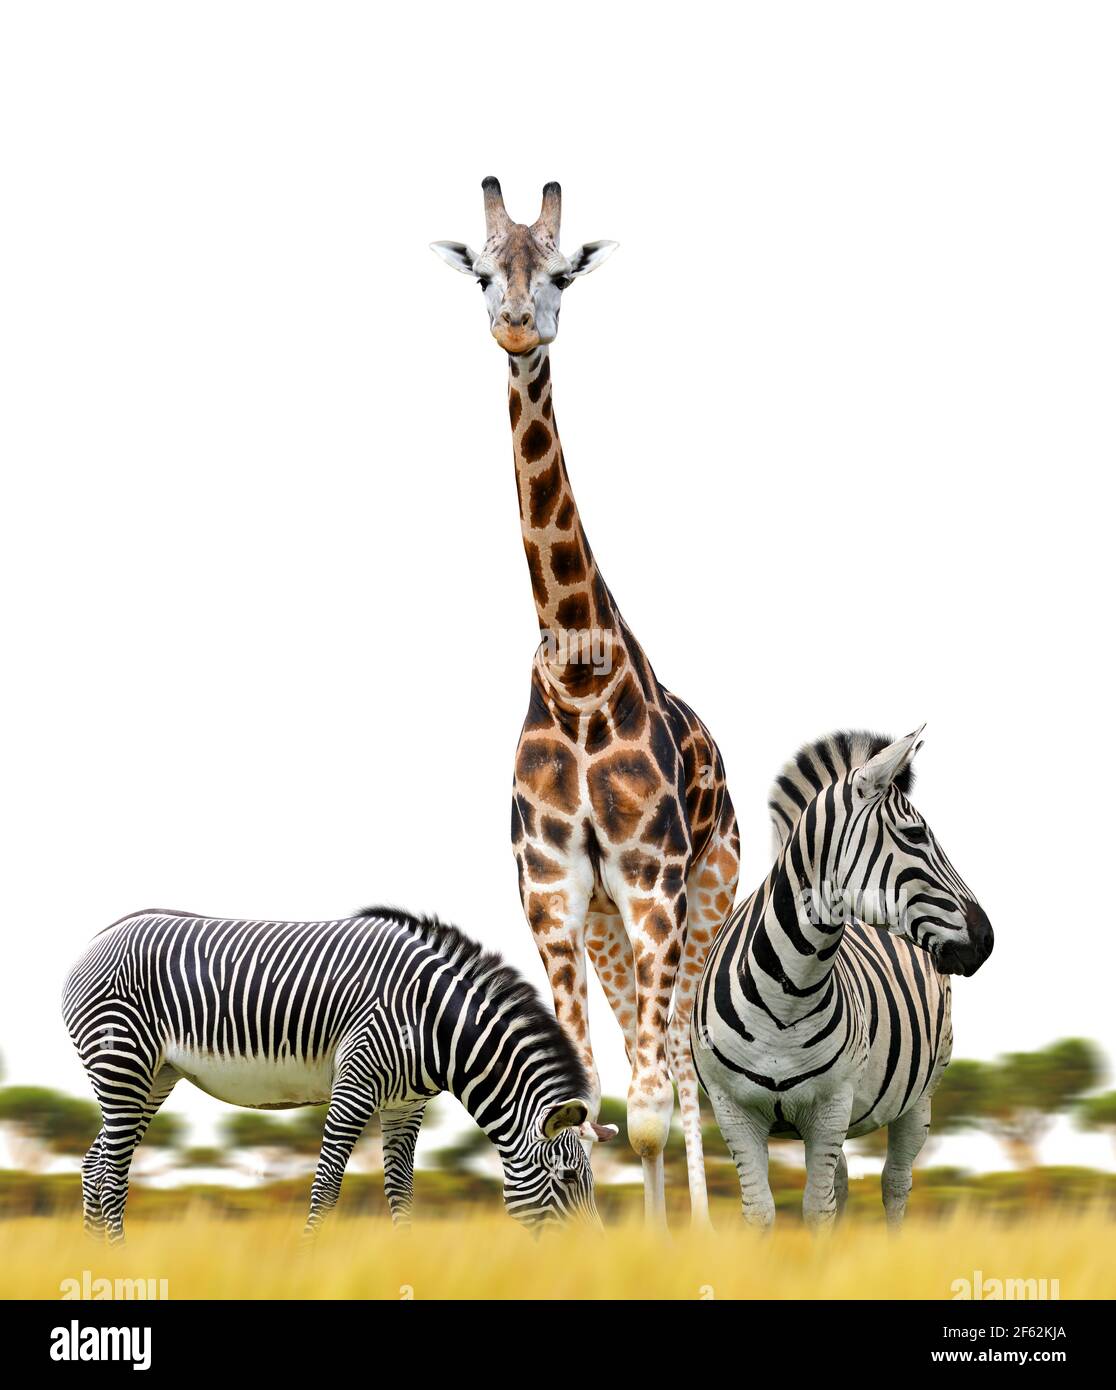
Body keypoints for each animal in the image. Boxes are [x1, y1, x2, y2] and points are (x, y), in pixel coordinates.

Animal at [63, 906, 617, 1241]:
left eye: (588, 1181)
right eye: (568, 1179)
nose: (593, 1255)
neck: (433, 1020)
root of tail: (100, 937)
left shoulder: (405, 1105)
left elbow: (401, 1190)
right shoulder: (356, 1082)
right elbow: (327, 1185)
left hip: (151, 1078)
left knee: (94, 1164)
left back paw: (98, 1259)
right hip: (123, 1063)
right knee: (110, 1172)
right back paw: (117, 1257)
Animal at [432, 178, 740, 1224]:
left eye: (561, 273)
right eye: (484, 273)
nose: (518, 326)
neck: (577, 675)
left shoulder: (654, 879)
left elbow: (647, 1109)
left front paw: (660, 1243)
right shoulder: (553, 889)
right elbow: (584, 1100)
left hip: (708, 900)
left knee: (685, 1075)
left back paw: (711, 1224)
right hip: (612, 924)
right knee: (653, 1070)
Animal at [691, 727, 994, 1229]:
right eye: (915, 834)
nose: (986, 940)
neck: (786, 995)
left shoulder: (831, 1107)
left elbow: (818, 1211)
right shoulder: (733, 1110)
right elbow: (763, 1213)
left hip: (921, 1097)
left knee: (894, 1184)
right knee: (845, 1182)